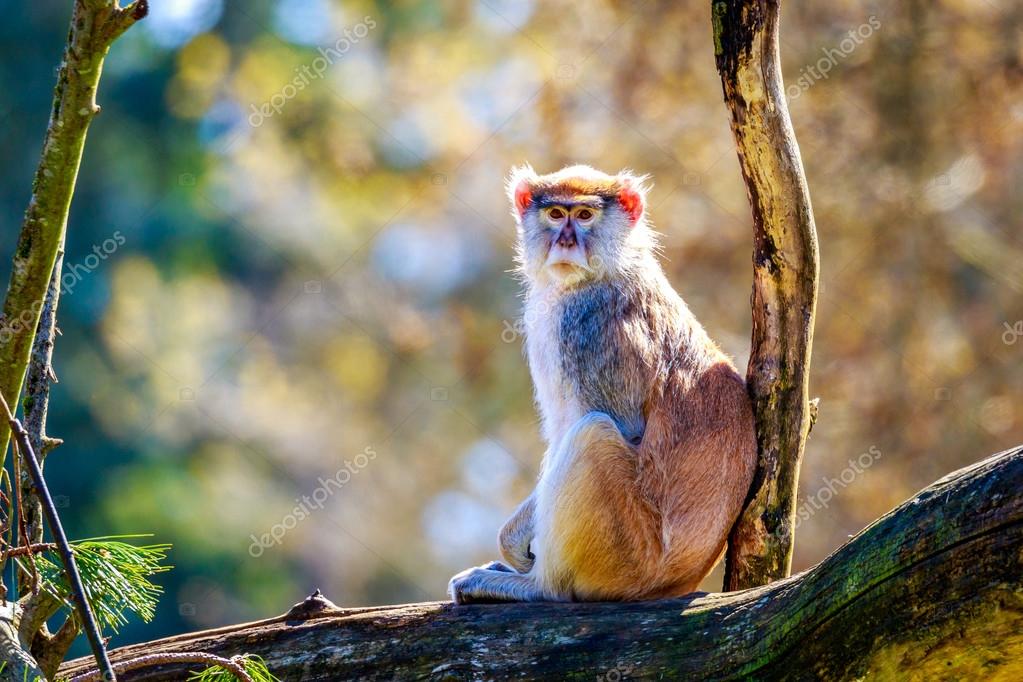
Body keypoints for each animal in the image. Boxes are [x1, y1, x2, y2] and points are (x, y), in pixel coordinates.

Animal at [447, 164, 757, 603]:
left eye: (585, 216)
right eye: (555, 214)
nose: (565, 241)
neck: (609, 268)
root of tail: (673, 584)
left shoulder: (588, 325)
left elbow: (620, 428)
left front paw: (515, 543)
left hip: (625, 557)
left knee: (592, 434)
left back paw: (540, 587)